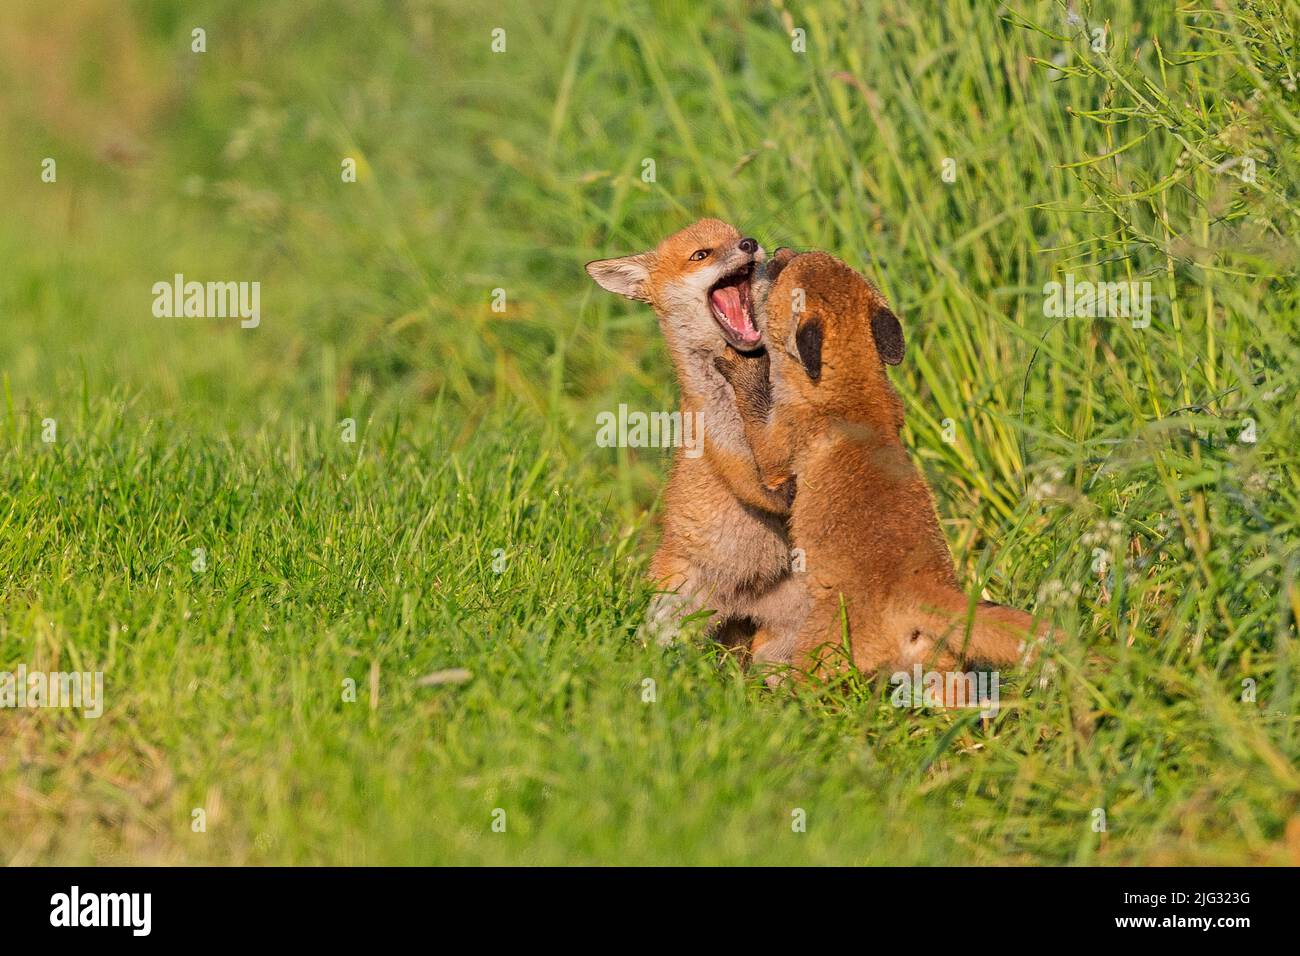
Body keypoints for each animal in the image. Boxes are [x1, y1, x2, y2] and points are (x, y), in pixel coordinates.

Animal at [586, 220, 808, 663]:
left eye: (738, 236)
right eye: (701, 255)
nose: (750, 244)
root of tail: (743, 603)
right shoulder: (733, 458)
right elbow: (764, 485)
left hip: (784, 640)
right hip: (673, 620)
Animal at [714, 251, 1048, 680]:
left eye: (780, 269)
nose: (772, 250)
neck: (856, 393)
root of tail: (923, 588)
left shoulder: (779, 445)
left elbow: (757, 417)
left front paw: (744, 369)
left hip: (818, 652)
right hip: (943, 673)